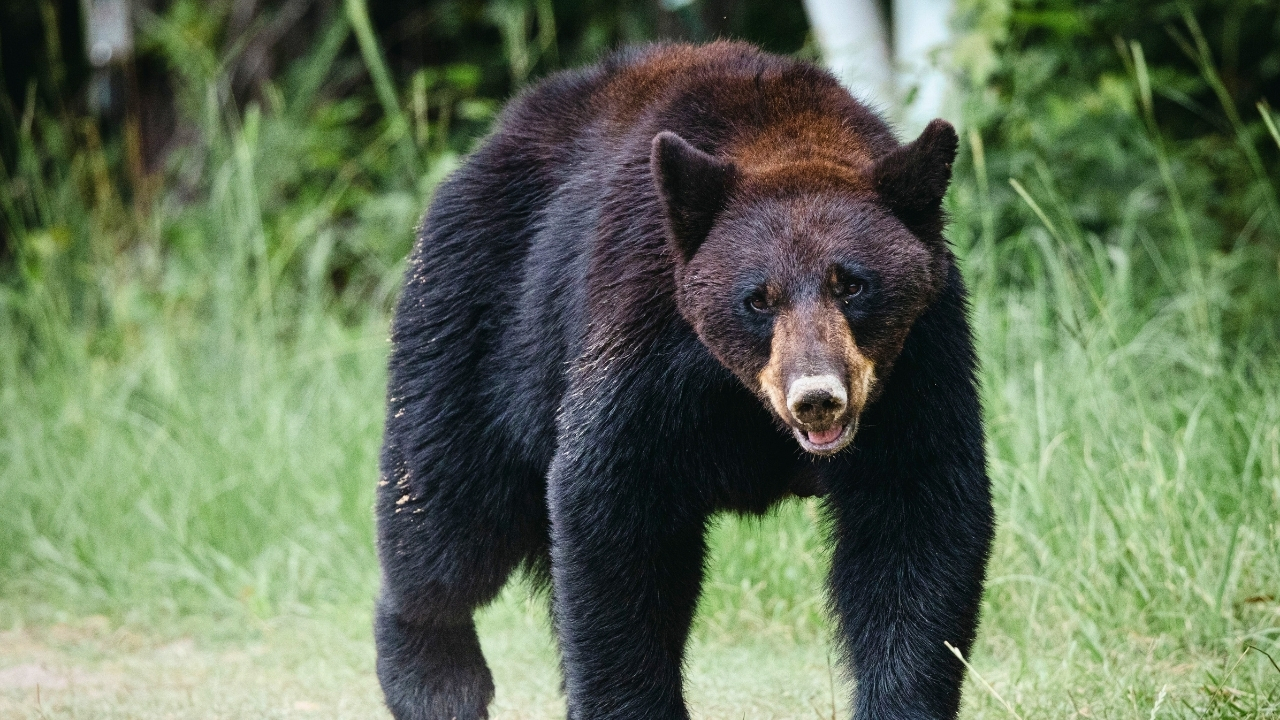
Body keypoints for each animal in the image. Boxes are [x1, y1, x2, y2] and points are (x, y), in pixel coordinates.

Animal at [375, 41, 994, 720]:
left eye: (852, 284)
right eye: (758, 298)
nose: (817, 398)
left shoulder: (922, 362)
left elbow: (917, 517)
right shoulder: (642, 336)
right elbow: (614, 511)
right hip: (475, 323)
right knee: (448, 512)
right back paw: (437, 681)